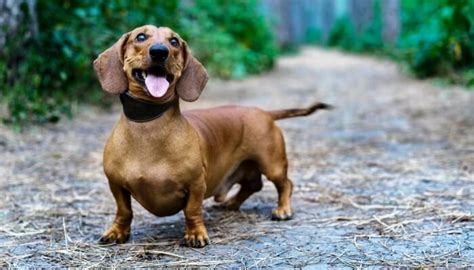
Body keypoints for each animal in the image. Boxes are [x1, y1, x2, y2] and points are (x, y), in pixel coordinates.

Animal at [92, 24, 330, 247]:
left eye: (174, 41)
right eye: (140, 36)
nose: (160, 51)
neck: (149, 125)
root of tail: (264, 112)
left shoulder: (196, 184)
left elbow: (192, 210)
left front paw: (195, 234)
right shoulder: (116, 184)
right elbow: (124, 211)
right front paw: (117, 232)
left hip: (272, 164)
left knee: (285, 184)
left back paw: (282, 209)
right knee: (252, 185)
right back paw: (231, 203)